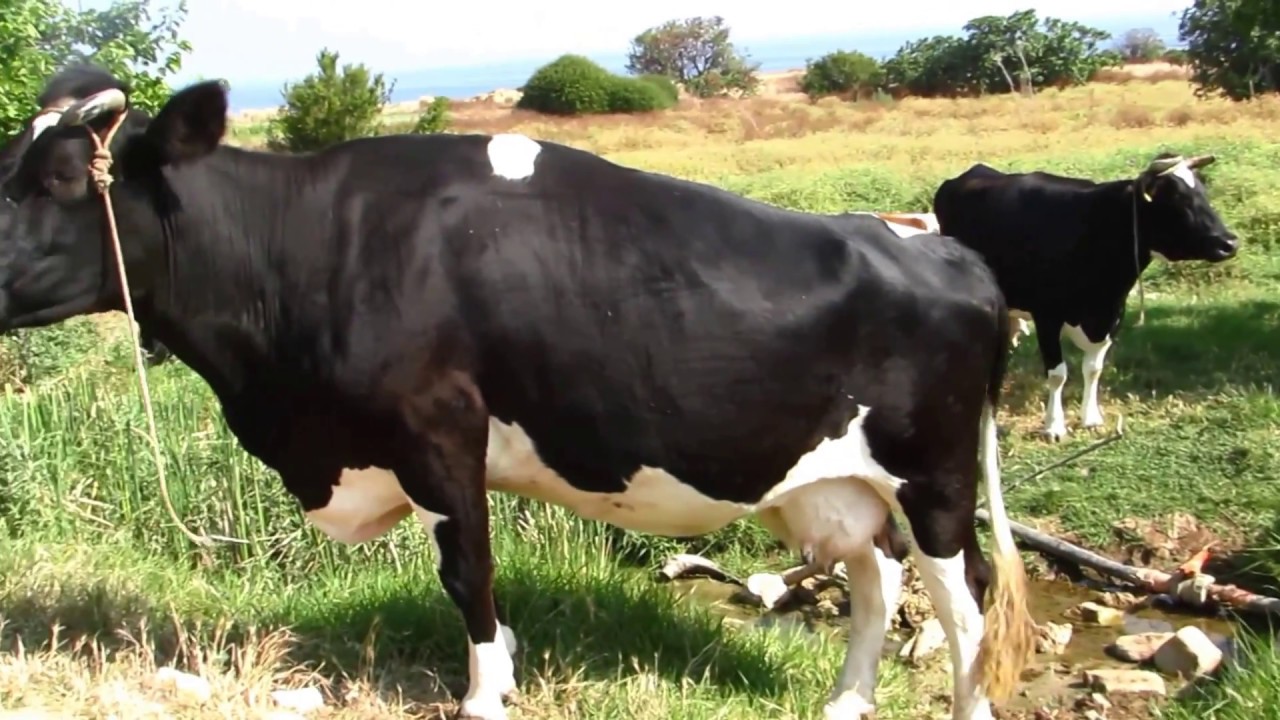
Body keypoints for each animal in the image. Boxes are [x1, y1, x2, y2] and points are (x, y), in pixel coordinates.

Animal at [0, 65, 1038, 720]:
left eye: (61, 176)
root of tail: (939, 244)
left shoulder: (438, 436)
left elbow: (470, 576)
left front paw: (484, 697)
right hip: (830, 481)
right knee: (877, 575)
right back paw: (846, 701)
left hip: (935, 478)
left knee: (968, 604)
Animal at [932, 156, 1239, 442]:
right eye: (1175, 199)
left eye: (1204, 193)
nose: (1229, 243)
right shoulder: (1047, 316)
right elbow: (1058, 374)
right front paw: (1054, 426)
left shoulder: (1113, 315)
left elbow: (1093, 369)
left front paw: (1091, 417)